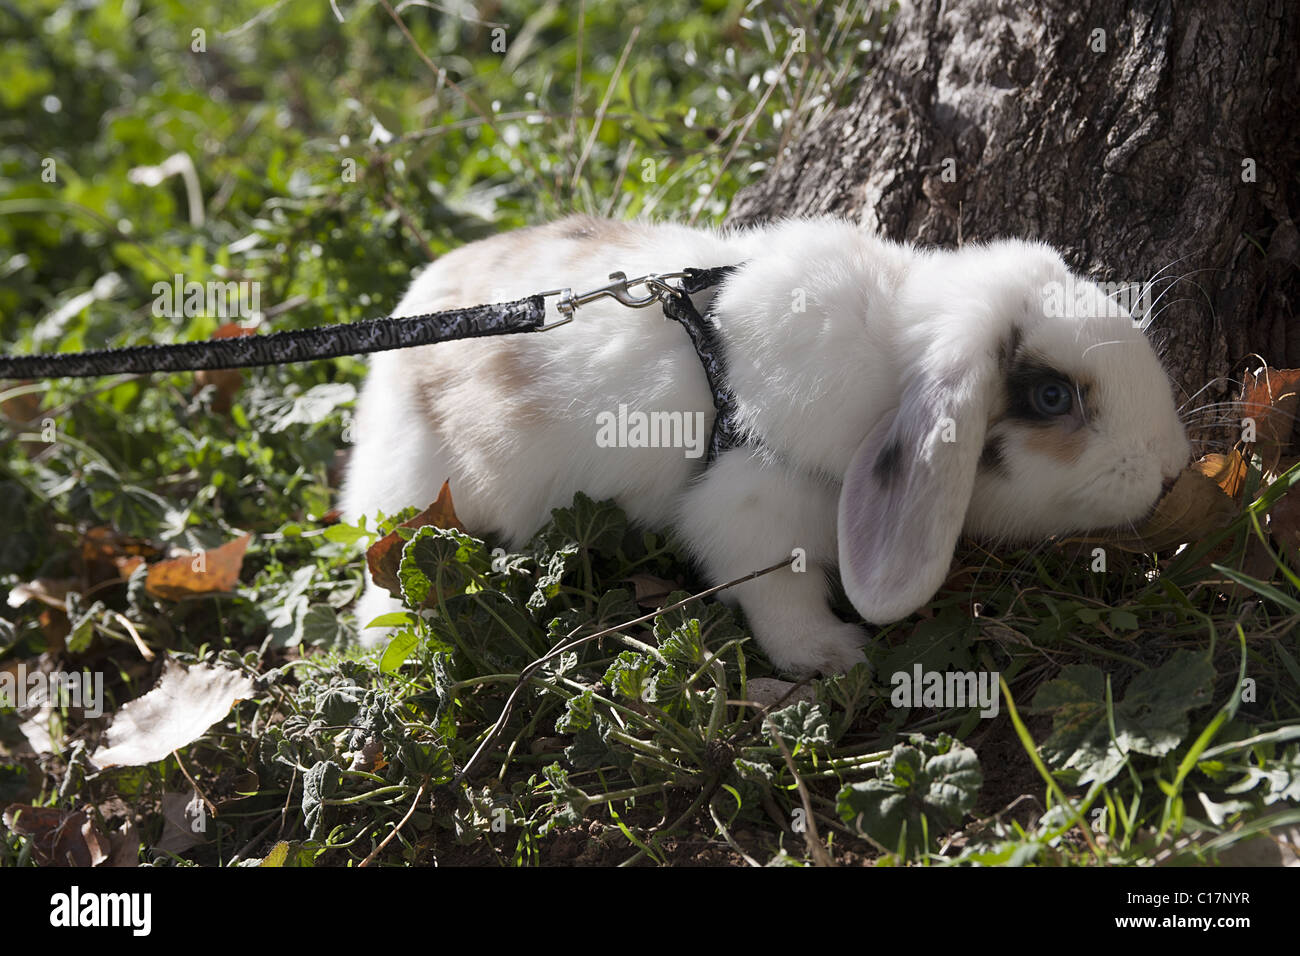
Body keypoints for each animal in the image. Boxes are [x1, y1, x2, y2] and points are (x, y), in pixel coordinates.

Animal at [340, 214, 1191, 676]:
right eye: (1051, 397)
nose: (1172, 468)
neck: (891, 361)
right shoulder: (751, 506)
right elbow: (778, 591)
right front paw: (831, 657)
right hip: (414, 489)